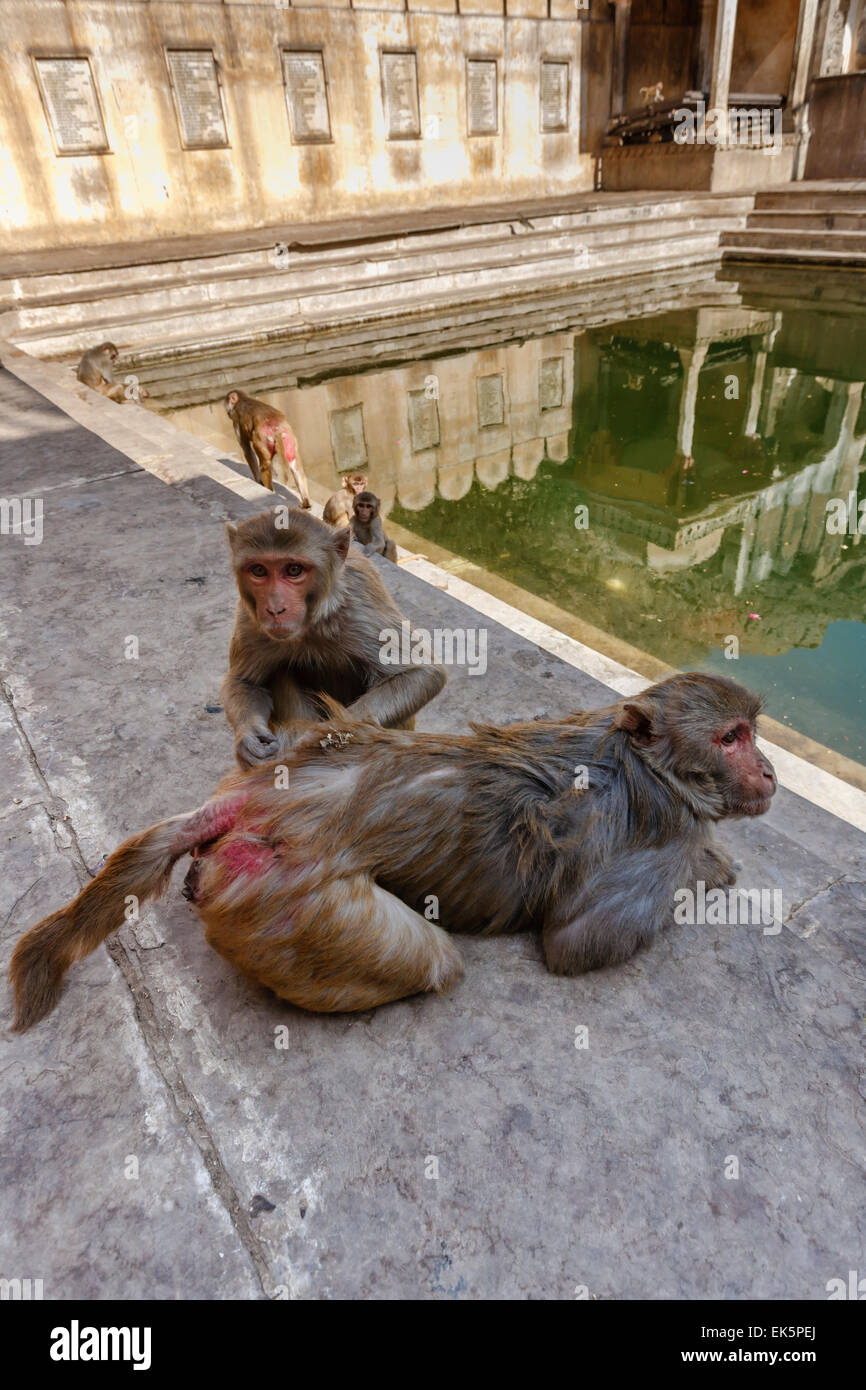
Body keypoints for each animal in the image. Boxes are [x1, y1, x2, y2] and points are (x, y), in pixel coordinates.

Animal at [9, 673, 778, 1032]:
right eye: (733, 737)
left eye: (752, 731)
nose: (770, 773)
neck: (644, 760)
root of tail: (260, 798)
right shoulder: (664, 828)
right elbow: (578, 941)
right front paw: (713, 865)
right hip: (280, 900)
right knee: (434, 960)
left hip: (290, 753)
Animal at [221, 507, 445, 769]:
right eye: (258, 570)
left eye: (294, 570)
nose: (275, 609)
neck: (312, 623)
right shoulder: (251, 619)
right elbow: (244, 683)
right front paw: (248, 741)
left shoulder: (361, 606)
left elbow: (422, 673)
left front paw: (316, 735)